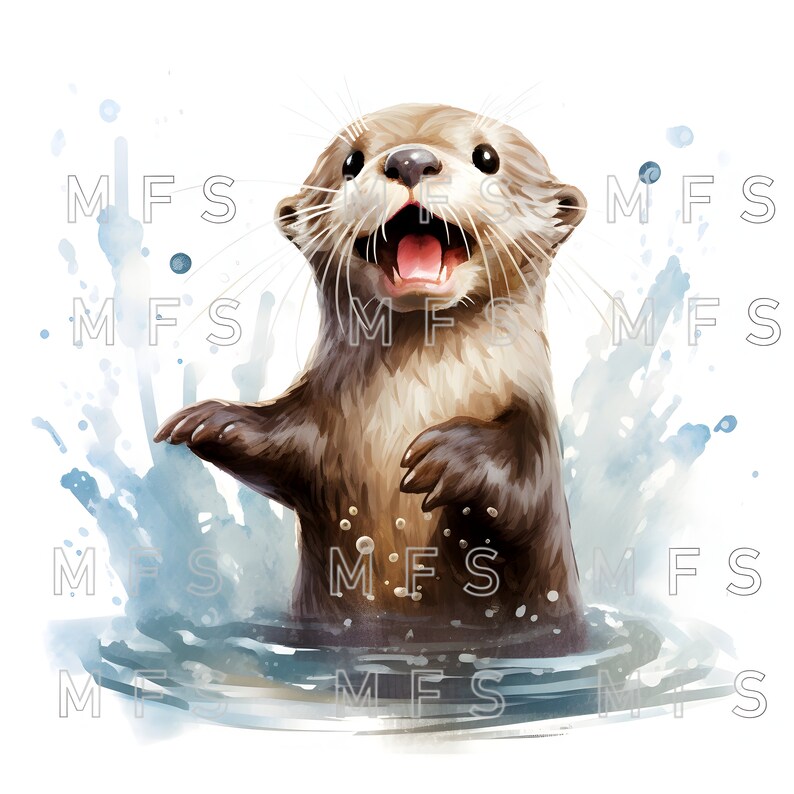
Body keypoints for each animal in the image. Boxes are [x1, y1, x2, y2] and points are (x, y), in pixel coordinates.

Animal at [154, 103, 588, 649]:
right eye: (351, 161)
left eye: (488, 157)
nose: (411, 160)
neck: (417, 398)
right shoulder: (319, 421)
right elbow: (282, 437)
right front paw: (215, 420)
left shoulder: (537, 435)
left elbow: (523, 483)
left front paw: (449, 457)